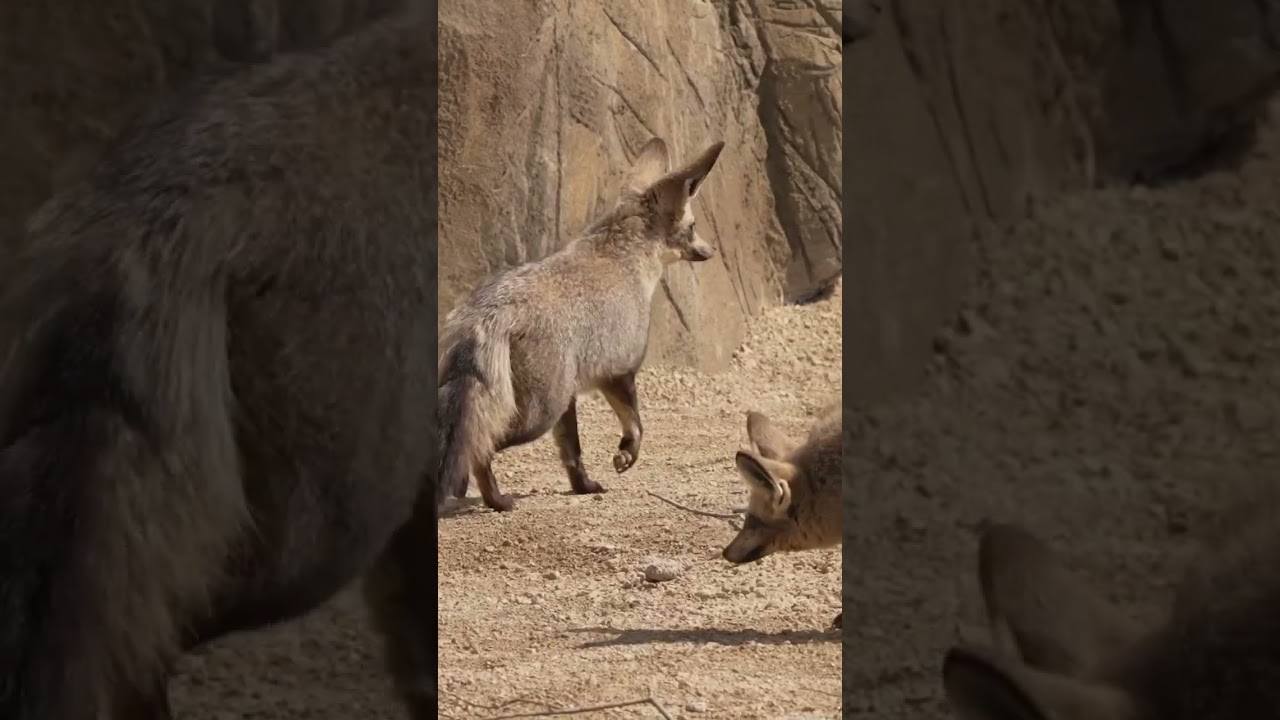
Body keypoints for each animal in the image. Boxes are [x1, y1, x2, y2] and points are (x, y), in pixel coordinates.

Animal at [437, 136, 725, 513]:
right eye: (692, 227)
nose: (711, 251)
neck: (623, 259)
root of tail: (487, 311)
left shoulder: (572, 396)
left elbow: (572, 452)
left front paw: (583, 486)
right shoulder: (618, 372)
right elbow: (637, 425)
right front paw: (625, 455)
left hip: (540, 404)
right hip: (538, 415)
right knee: (479, 448)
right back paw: (497, 500)